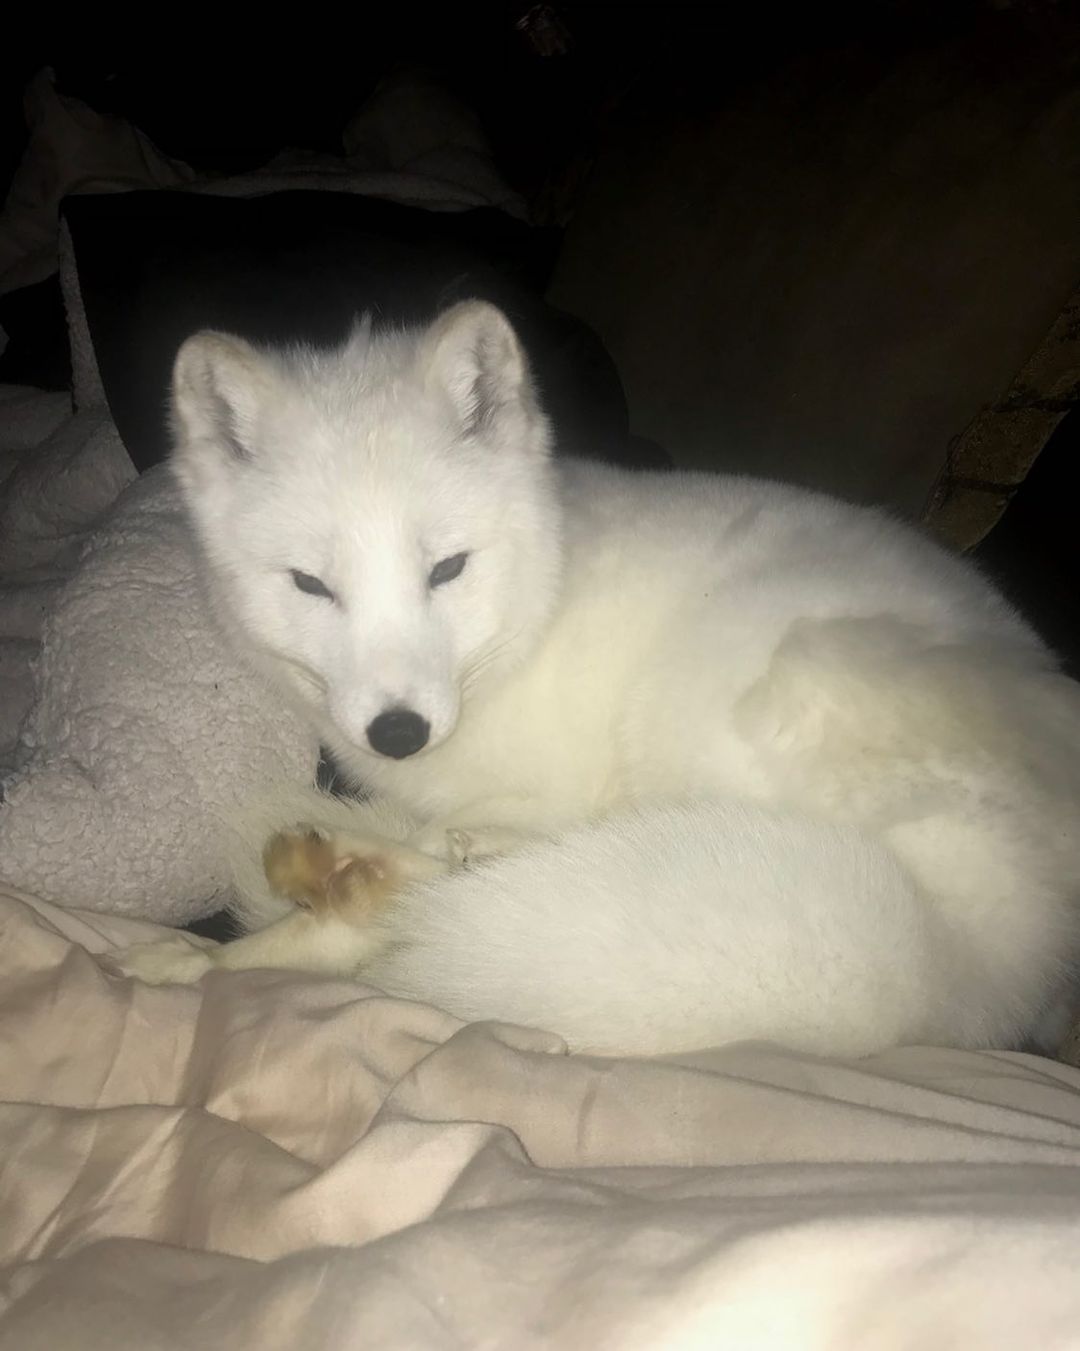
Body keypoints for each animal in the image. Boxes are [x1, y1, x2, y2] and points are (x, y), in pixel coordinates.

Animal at [115, 300, 1080, 1058]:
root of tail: (960, 957)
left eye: (448, 568)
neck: (536, 613)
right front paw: (209, 959)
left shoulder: (550, 791)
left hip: (724, 687)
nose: (398, 732)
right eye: (311, 585)